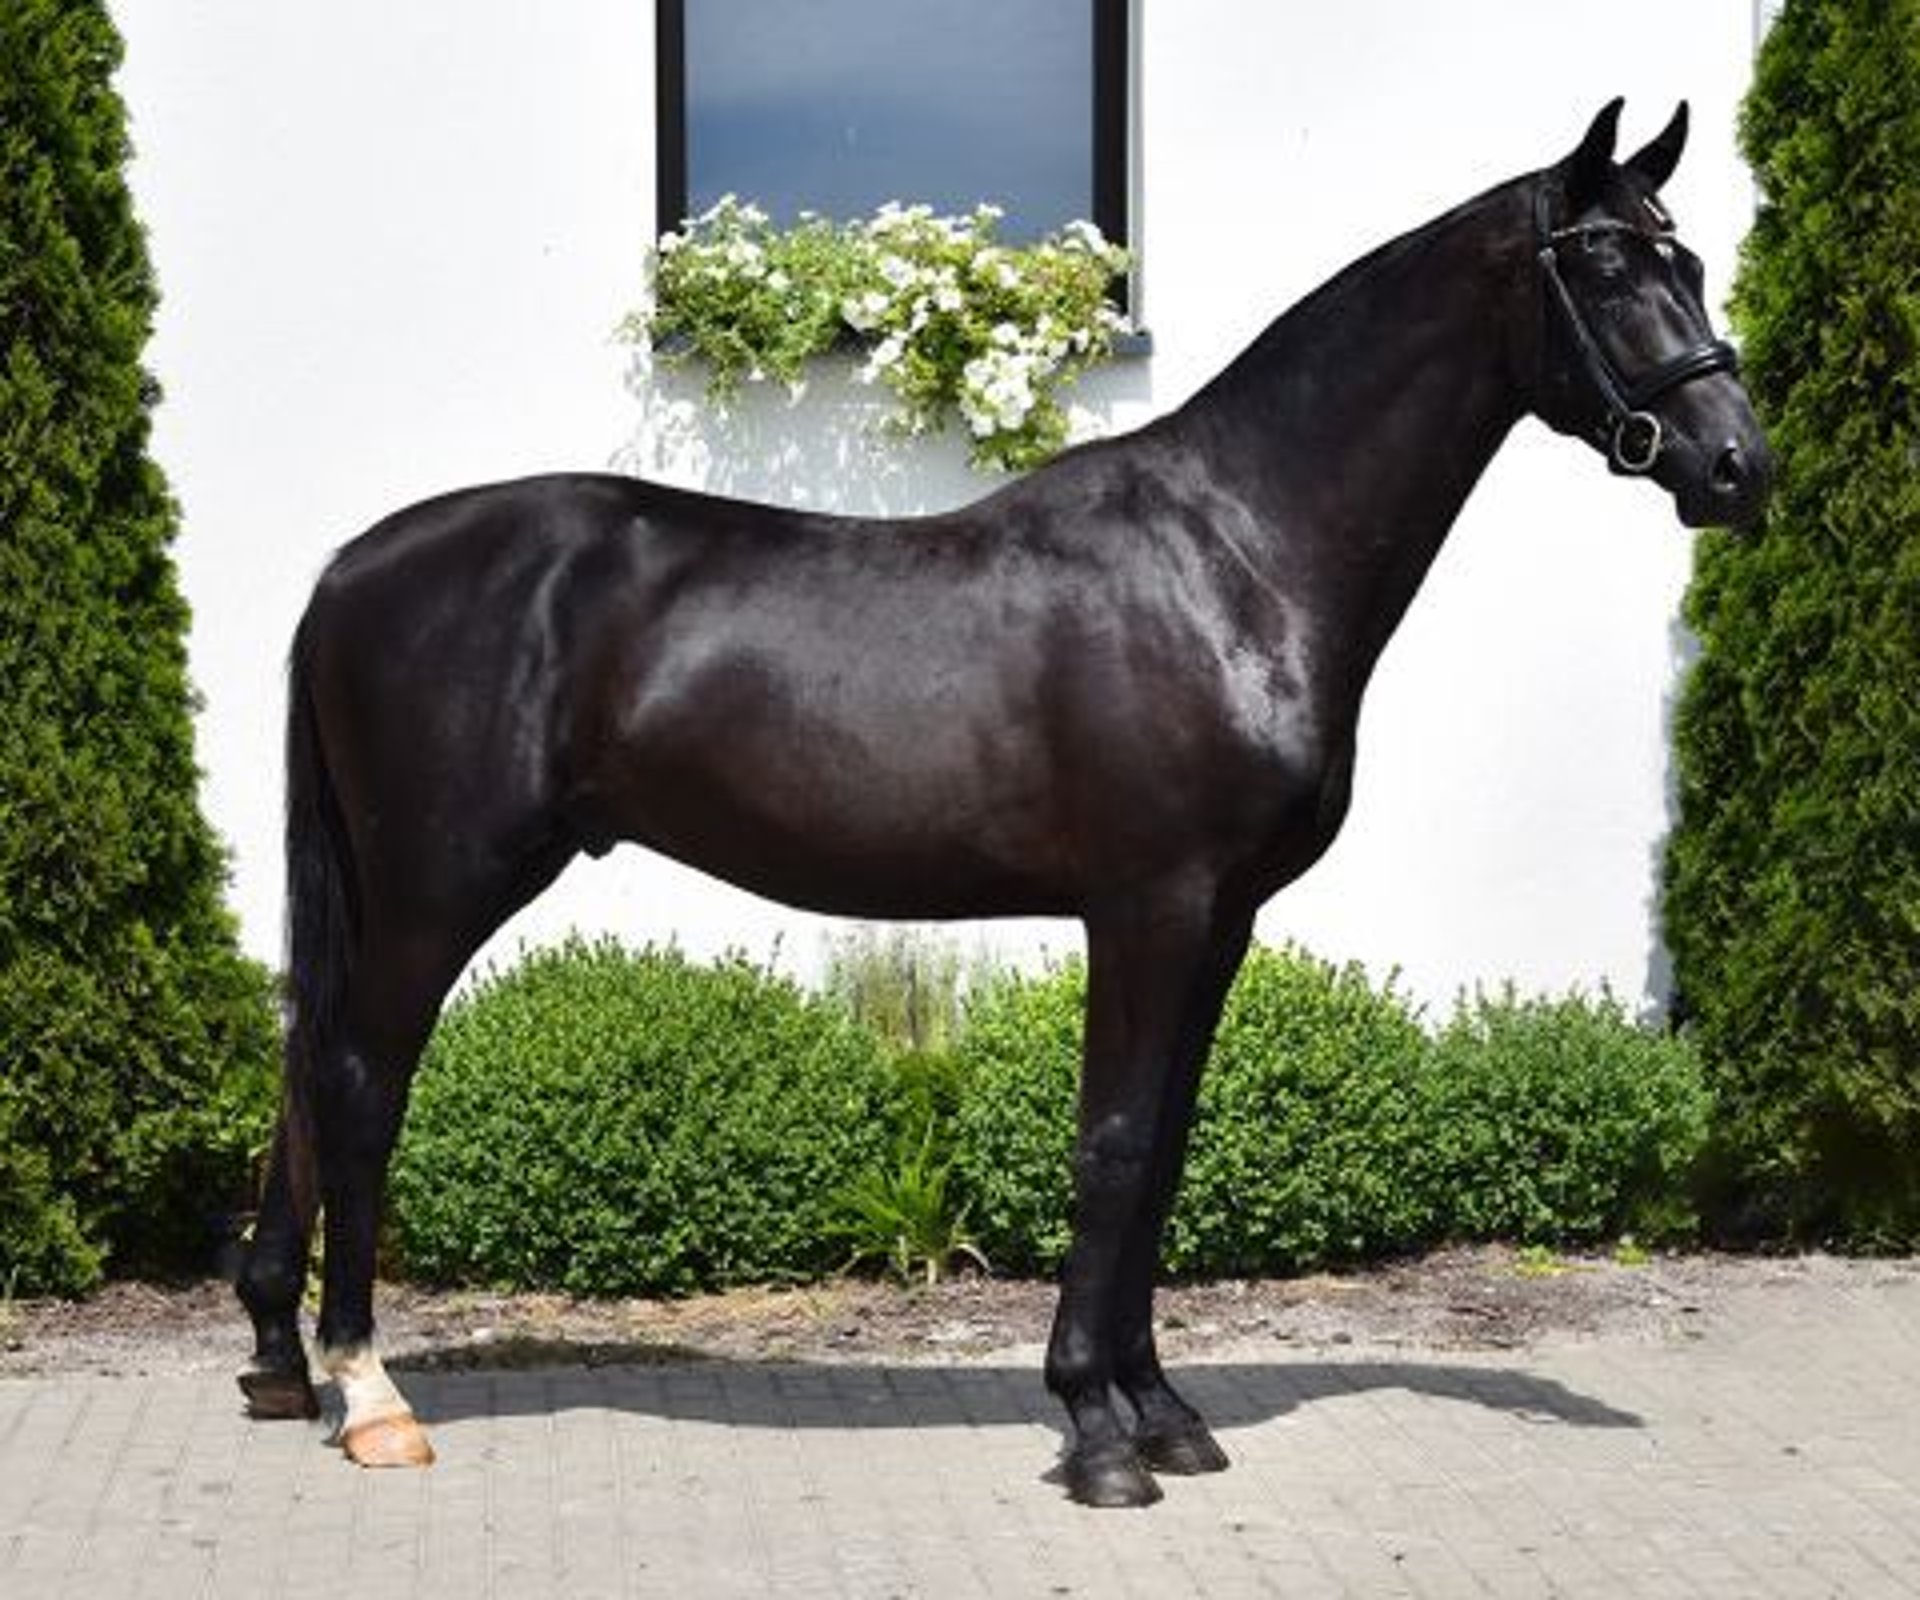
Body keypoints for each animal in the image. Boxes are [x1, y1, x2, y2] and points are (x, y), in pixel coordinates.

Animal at [235, 100, 1769, 1509]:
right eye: (1608, 264)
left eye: (1688, 259)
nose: (1735, 465)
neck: (1232, 553)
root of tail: (351, 567)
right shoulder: (1148, 906)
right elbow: (1114, 1145)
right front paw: (1098, 1430)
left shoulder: (1220, 920)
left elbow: (1164, 1152)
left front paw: (1165, 1412)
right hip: (441, 888)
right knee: (359, 1084)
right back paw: (371, 1395)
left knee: (309, 1072)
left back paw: (281, 1361)